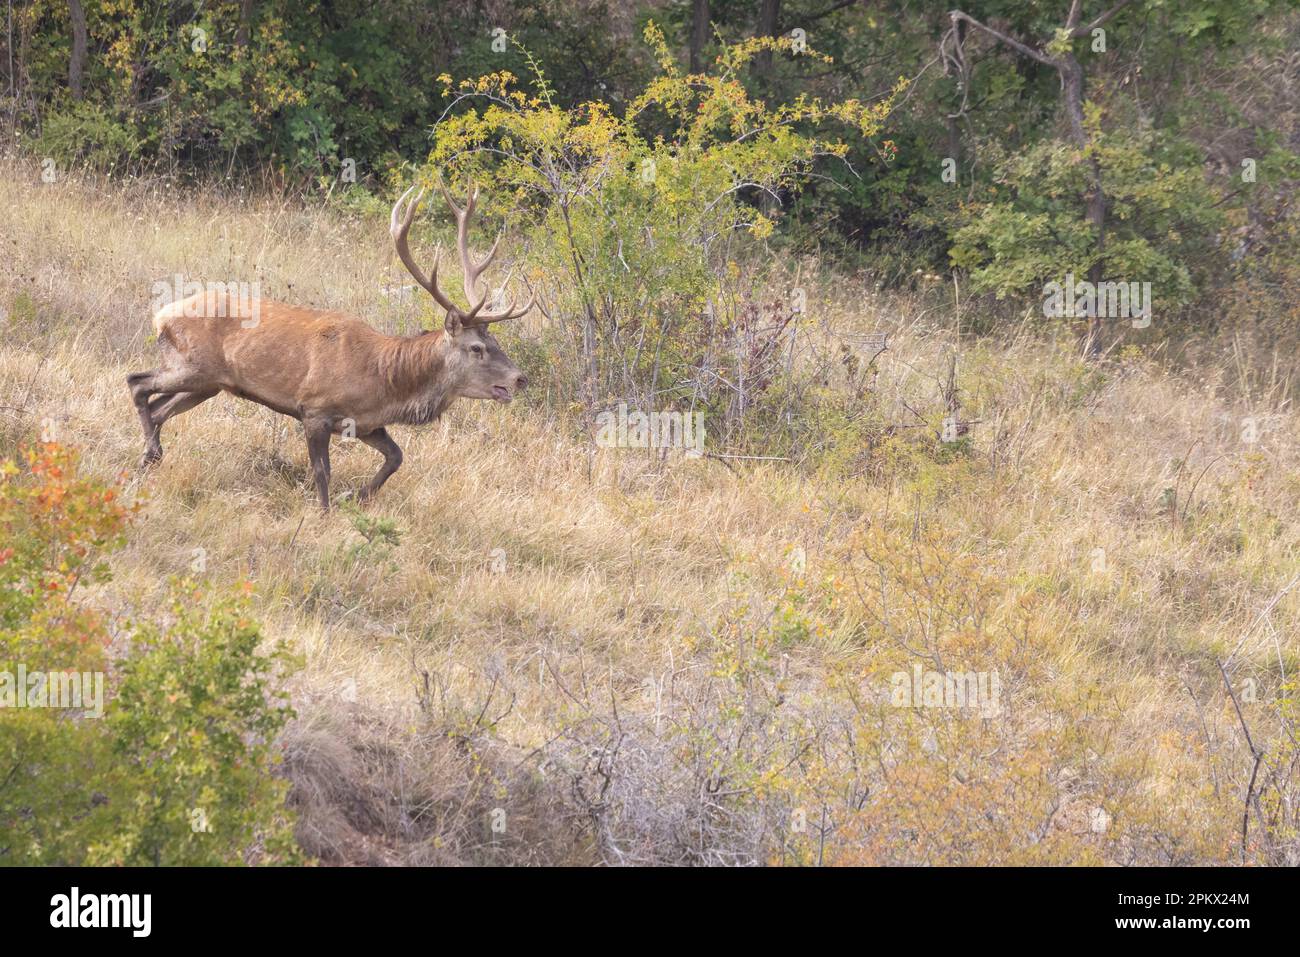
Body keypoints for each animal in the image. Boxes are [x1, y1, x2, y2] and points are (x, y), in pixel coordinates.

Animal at [127, 183, 533, 510]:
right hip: (191, 366)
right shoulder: (315, 409)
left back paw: (148, 461)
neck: (384, 379)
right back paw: (152, 452)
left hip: (208, 384)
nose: (519, 378)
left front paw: (358, 496)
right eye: (477, 347)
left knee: (159, 408)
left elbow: (397, 457)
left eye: (496, 341)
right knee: (137, 383)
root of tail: (162, 314)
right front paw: (325, 512)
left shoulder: (366, 423)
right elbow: (323, 471)